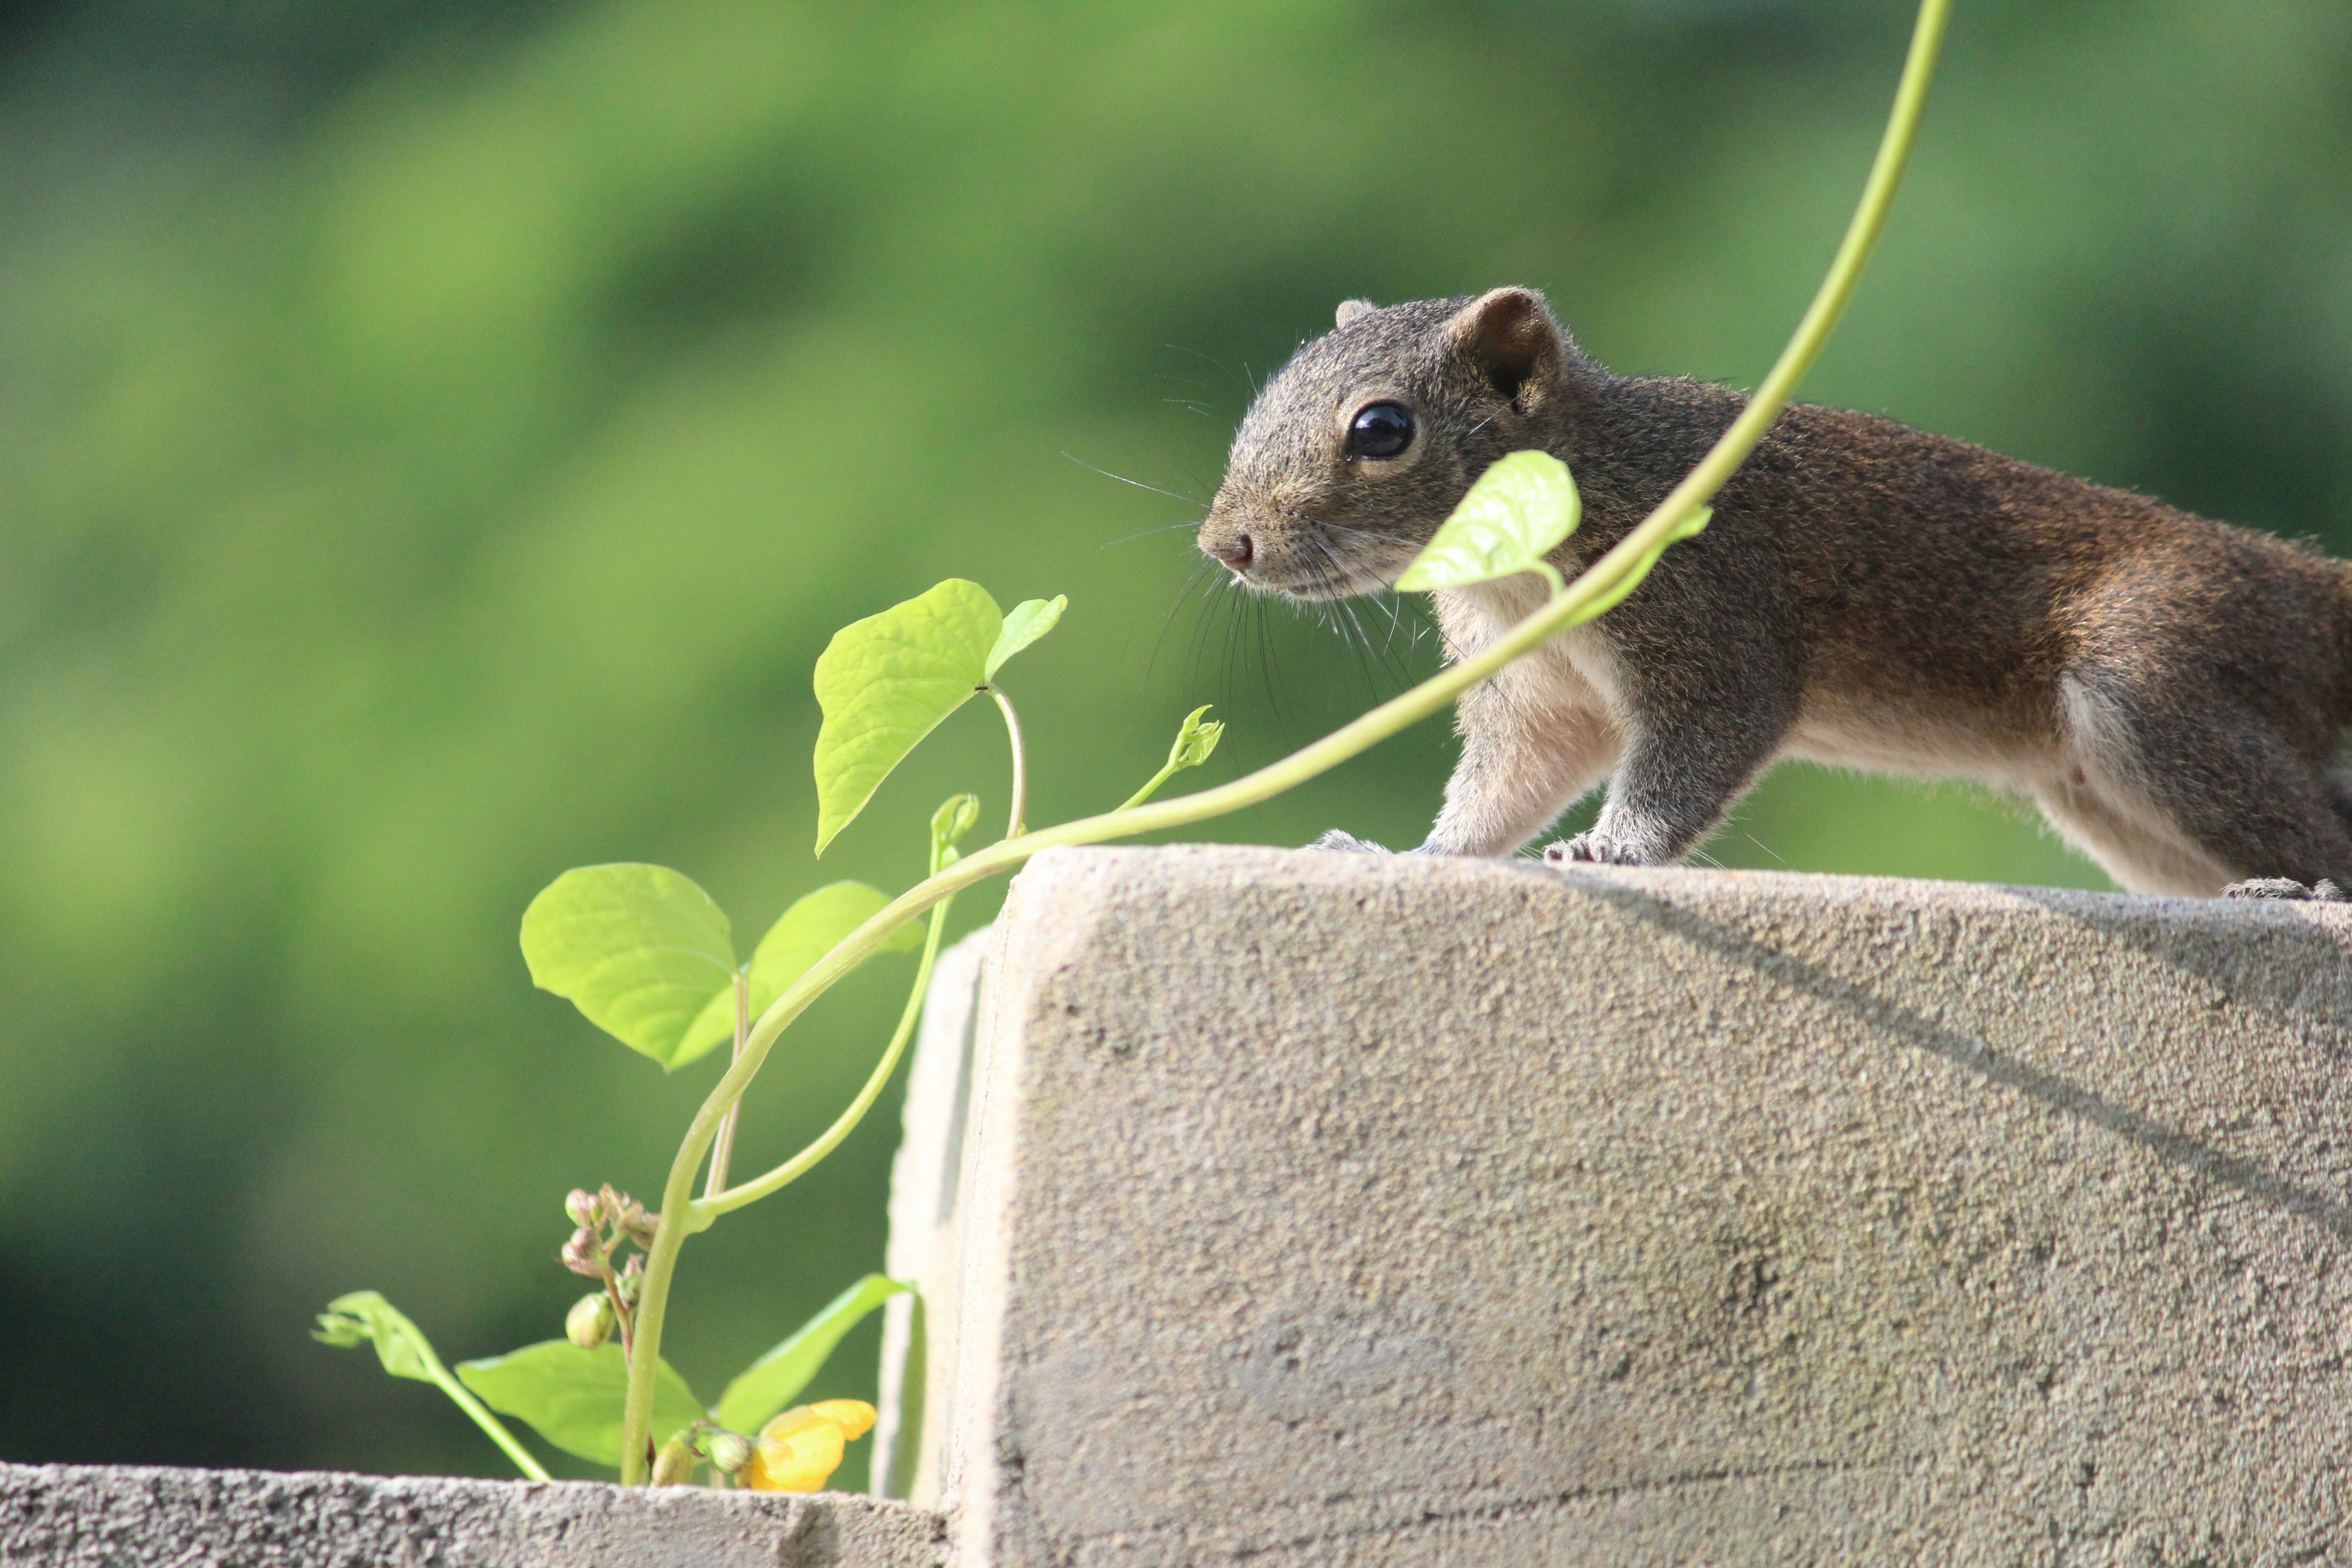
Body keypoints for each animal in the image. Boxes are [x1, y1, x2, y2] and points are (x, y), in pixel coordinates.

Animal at [1196, 288, 2352, 901]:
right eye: (1267, 392)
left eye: (1382, 429)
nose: (1225, 546)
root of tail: (2306, 590)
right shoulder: (1538, 697)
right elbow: (1503, 788)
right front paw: (1415, 854)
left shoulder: (1706, 617)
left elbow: (1697, 747)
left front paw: (1610, 847)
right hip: (2101, 796)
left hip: (2153, 681)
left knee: (2318, 835)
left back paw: (2291, 887)